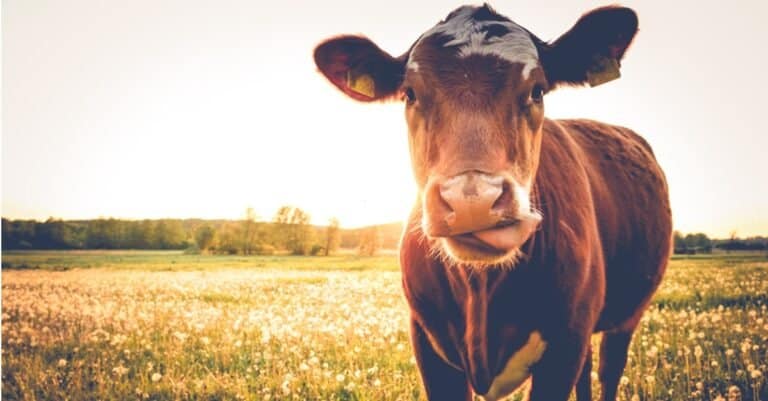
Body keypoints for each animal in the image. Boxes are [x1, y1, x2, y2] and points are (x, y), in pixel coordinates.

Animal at [313, 4, 671, 401]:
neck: (480, 288)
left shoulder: (565, 345)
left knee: (609, 369)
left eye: (537, 91)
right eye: (409, 94)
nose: (473, 200)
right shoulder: (427, 343)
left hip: (627, 315)